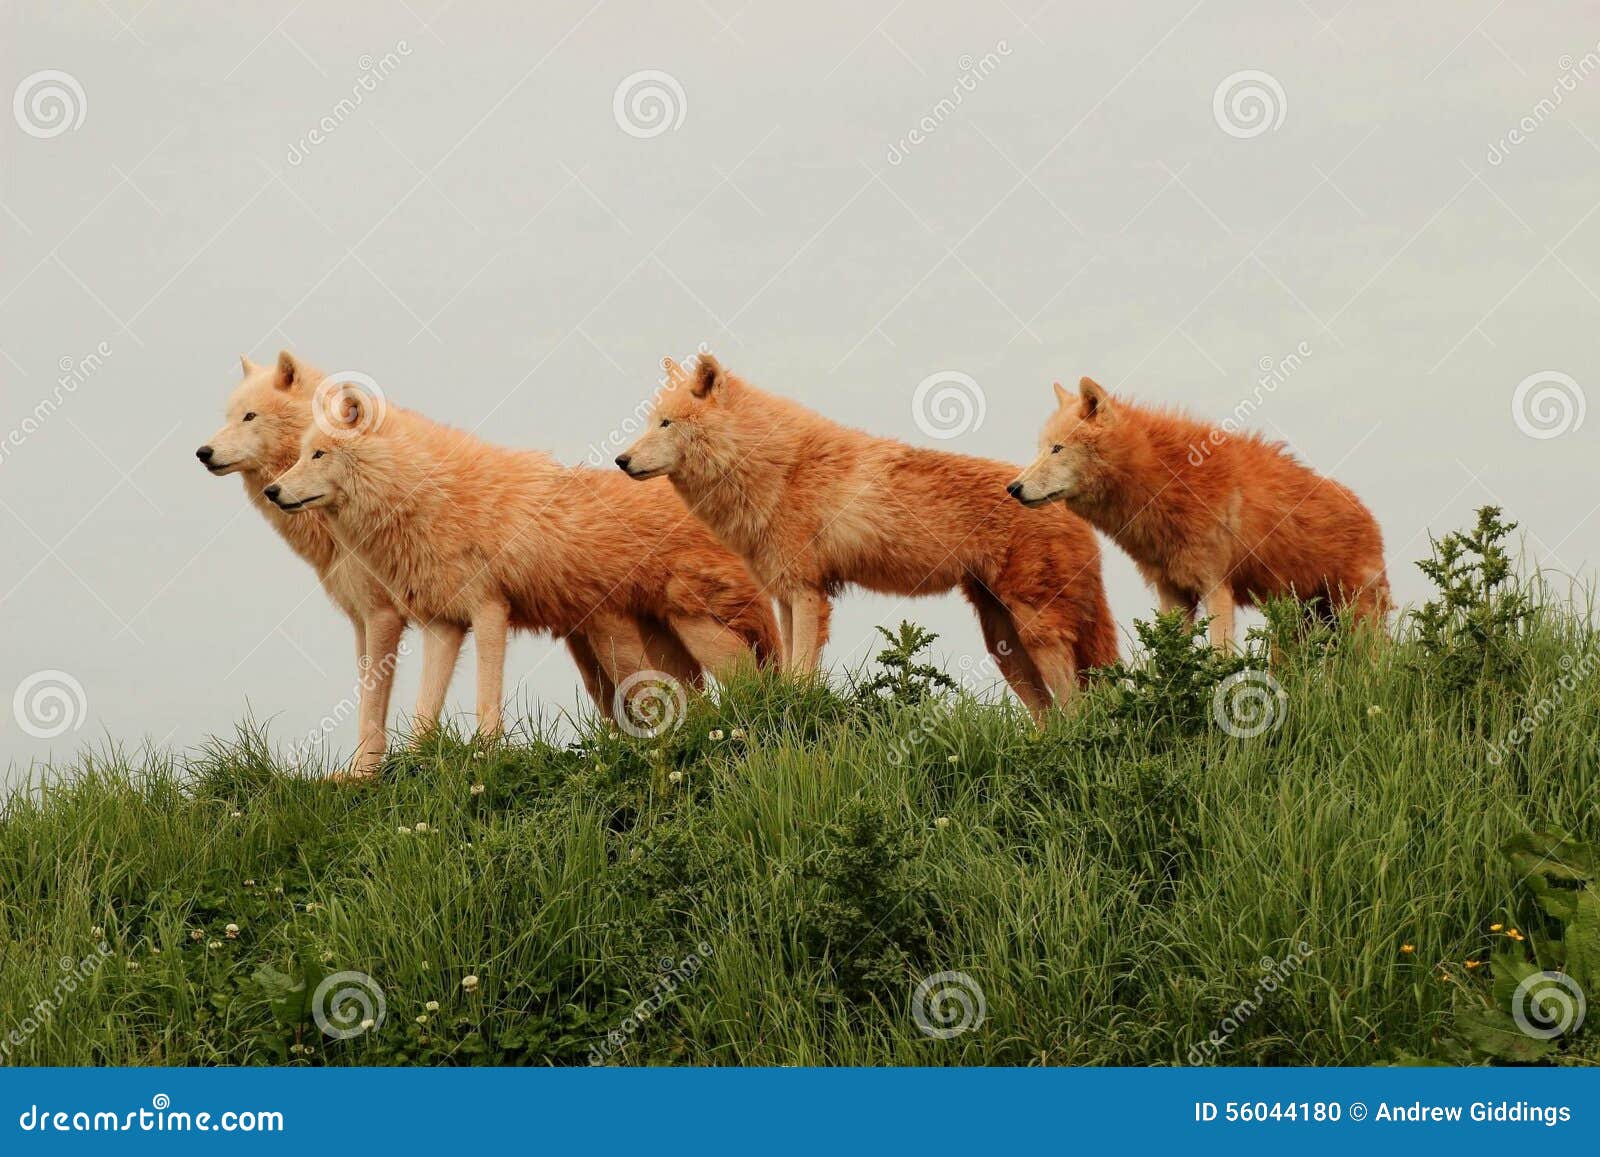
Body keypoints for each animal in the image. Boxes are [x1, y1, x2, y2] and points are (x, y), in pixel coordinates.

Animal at [614, 354, 1117, 720]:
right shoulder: (786, 593)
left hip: (1036, 631)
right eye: (649, 422)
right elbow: (791, 668)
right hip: (1004, 645)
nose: (620, 460)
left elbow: (800, 673)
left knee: (1075, 706)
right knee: (1048, 713)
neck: (774, 467)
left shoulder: (807, 592)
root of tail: (1071, 511)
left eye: (665, 424)